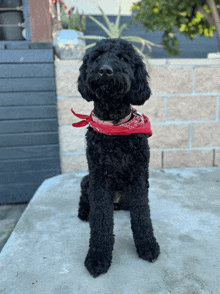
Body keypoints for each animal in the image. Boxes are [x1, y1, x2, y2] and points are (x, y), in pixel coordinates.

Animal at [74, 38, 160, 278]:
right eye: (96, 57)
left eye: (122, 58)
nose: (105, 70)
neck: (114, 127)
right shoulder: (99, 178)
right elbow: (101, 221)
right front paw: (97, 258)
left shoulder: (139, 176)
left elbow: (142, 214)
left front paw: (148, 245)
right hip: (87, 180)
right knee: (85, 199)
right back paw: (84, 212)